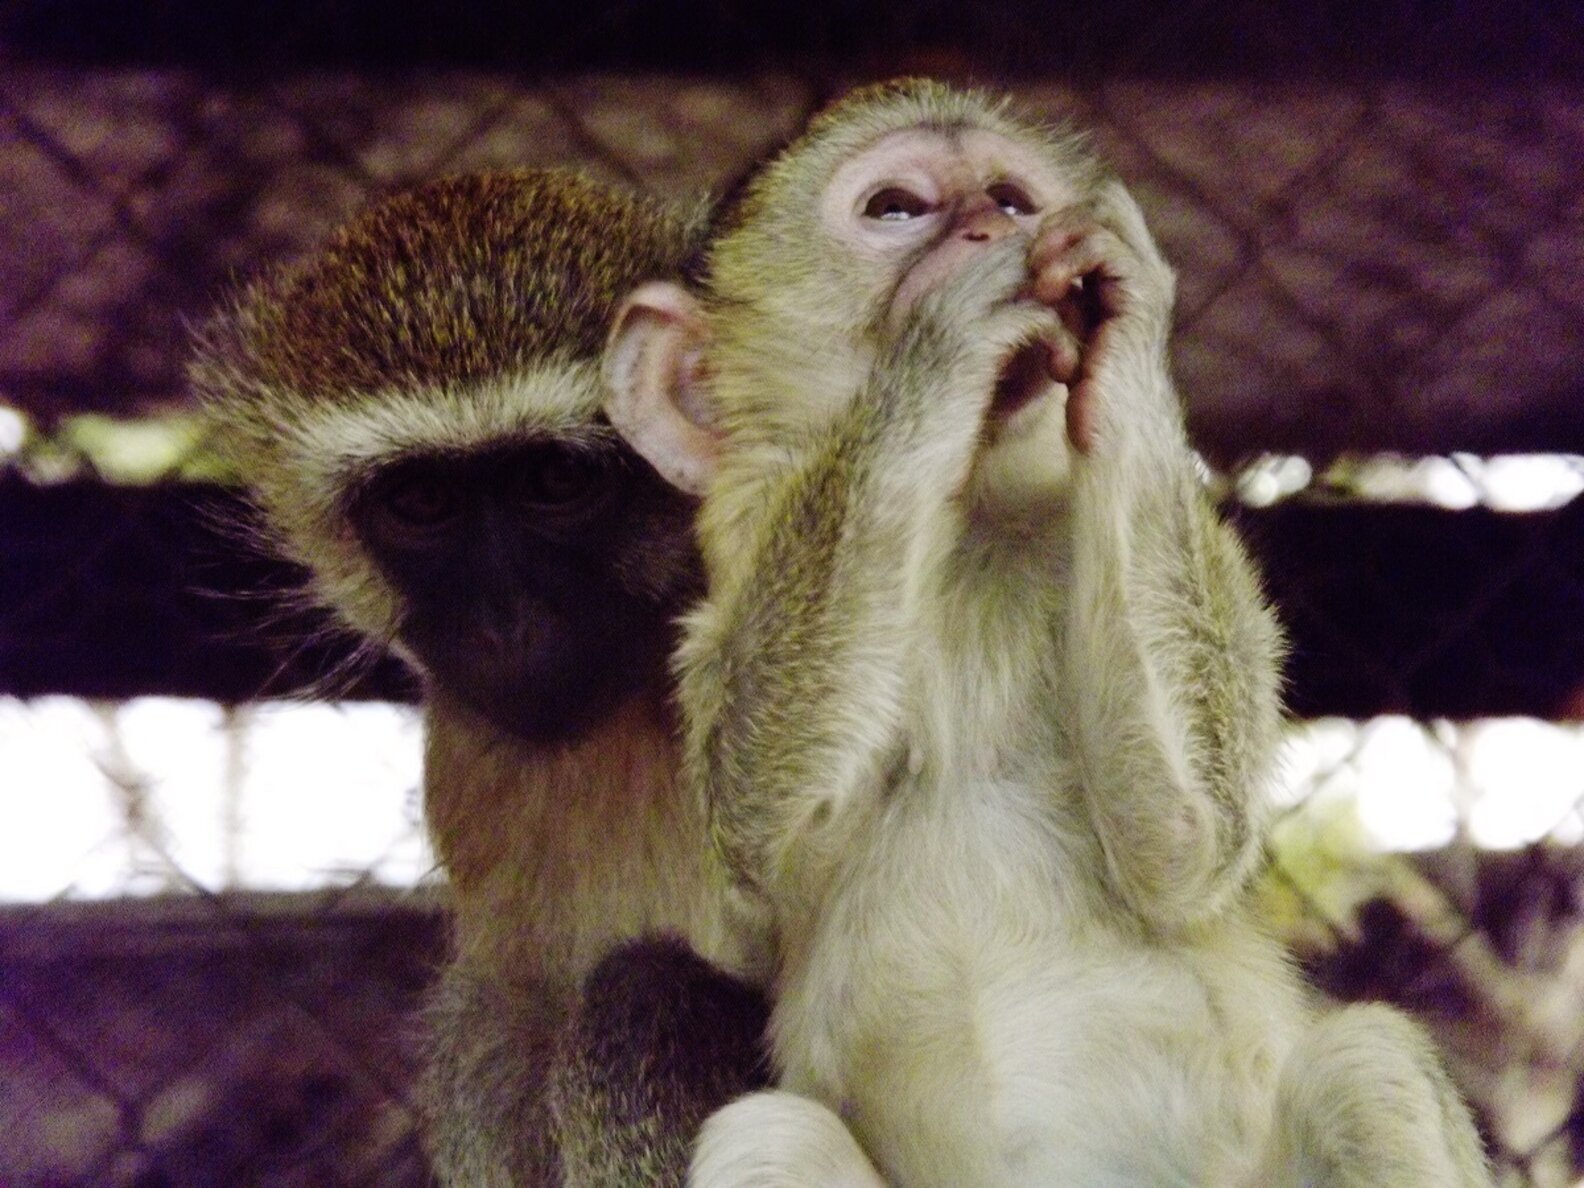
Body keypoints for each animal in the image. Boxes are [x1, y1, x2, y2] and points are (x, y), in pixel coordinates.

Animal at [601, 79, 1492, 1187]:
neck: (972, 521)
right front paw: (943, 348)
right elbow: (769, 839)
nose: (991, 224)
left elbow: (1186, 847)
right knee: (770, 1135)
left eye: (1011, 194)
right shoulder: (714, 605)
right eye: (896, 208)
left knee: (1366, 1065)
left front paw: (1128, 317)